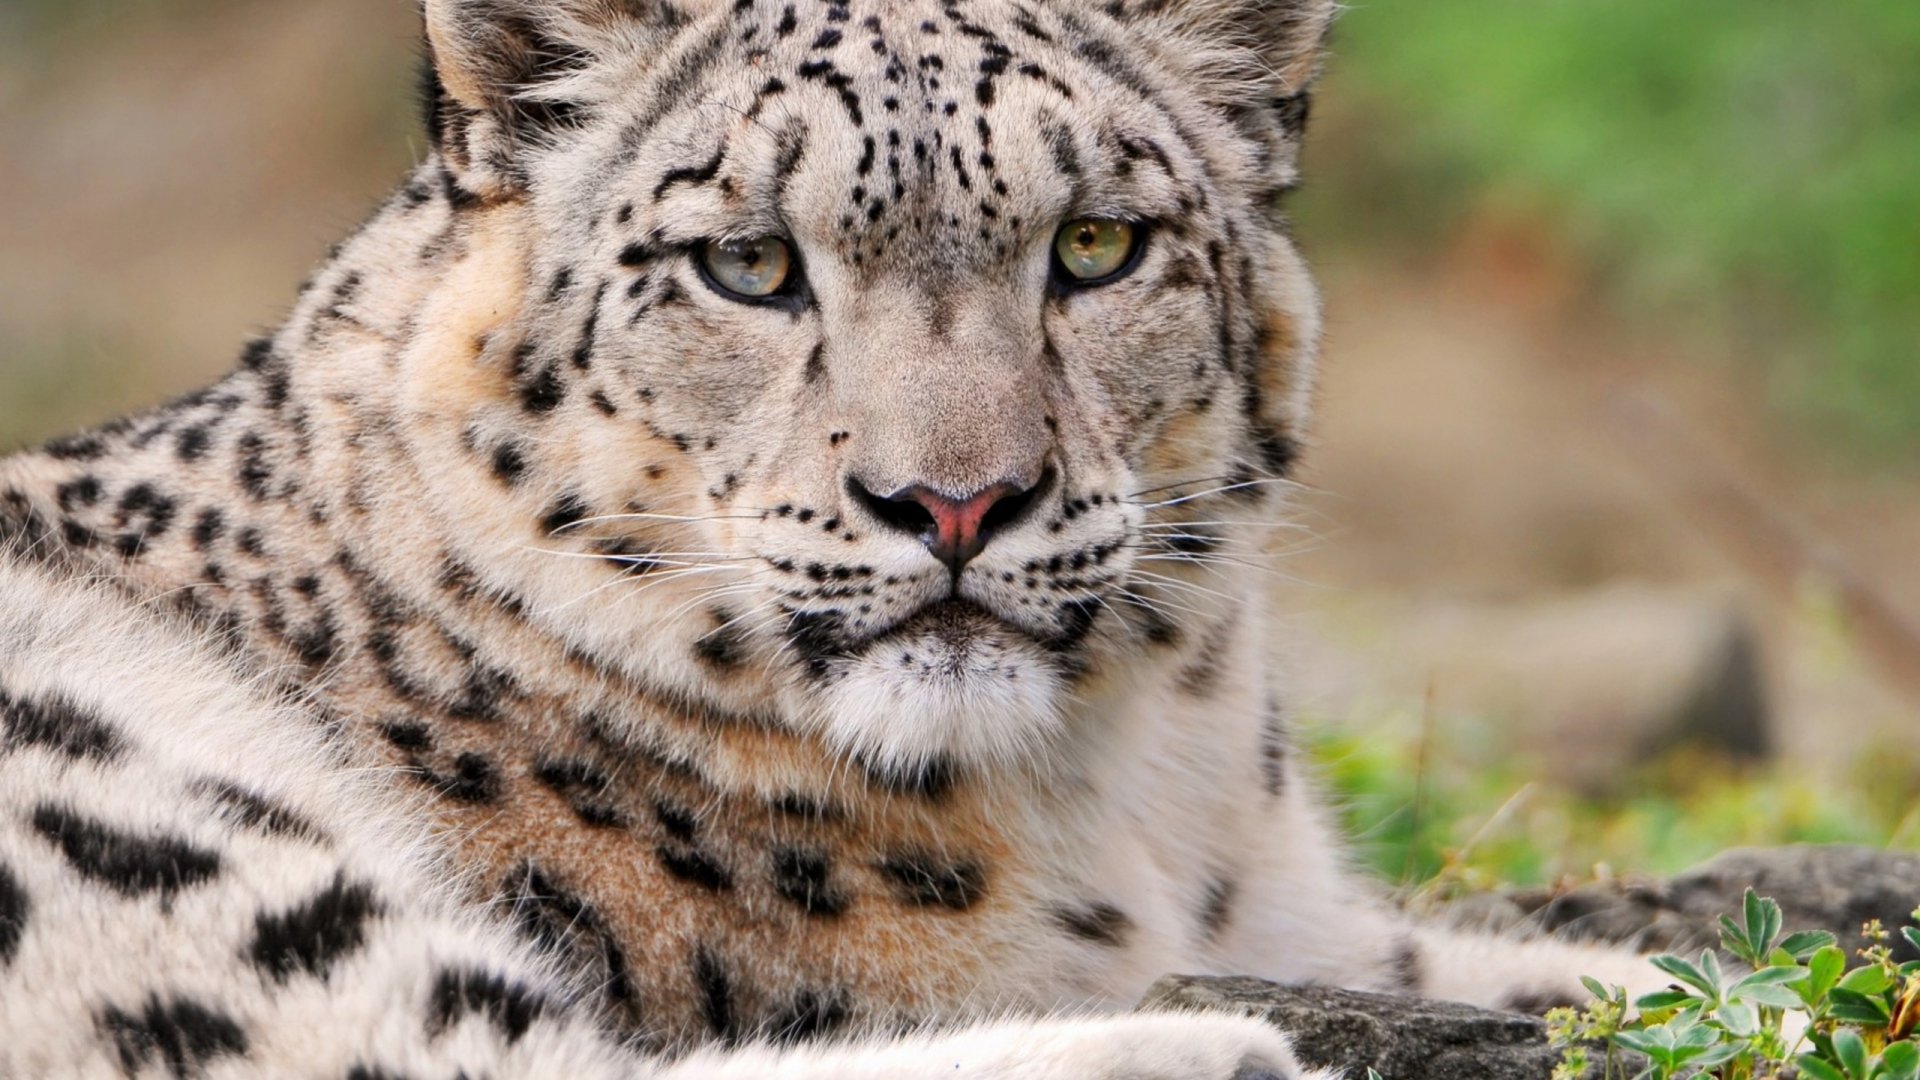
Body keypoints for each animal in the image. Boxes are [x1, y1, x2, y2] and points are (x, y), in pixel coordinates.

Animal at [0, 0, 1665, 1076]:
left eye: (1097, 245)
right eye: (747, 262)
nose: (956, 502)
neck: (1139, 802)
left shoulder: (1309, 914)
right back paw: (1205, 1046)